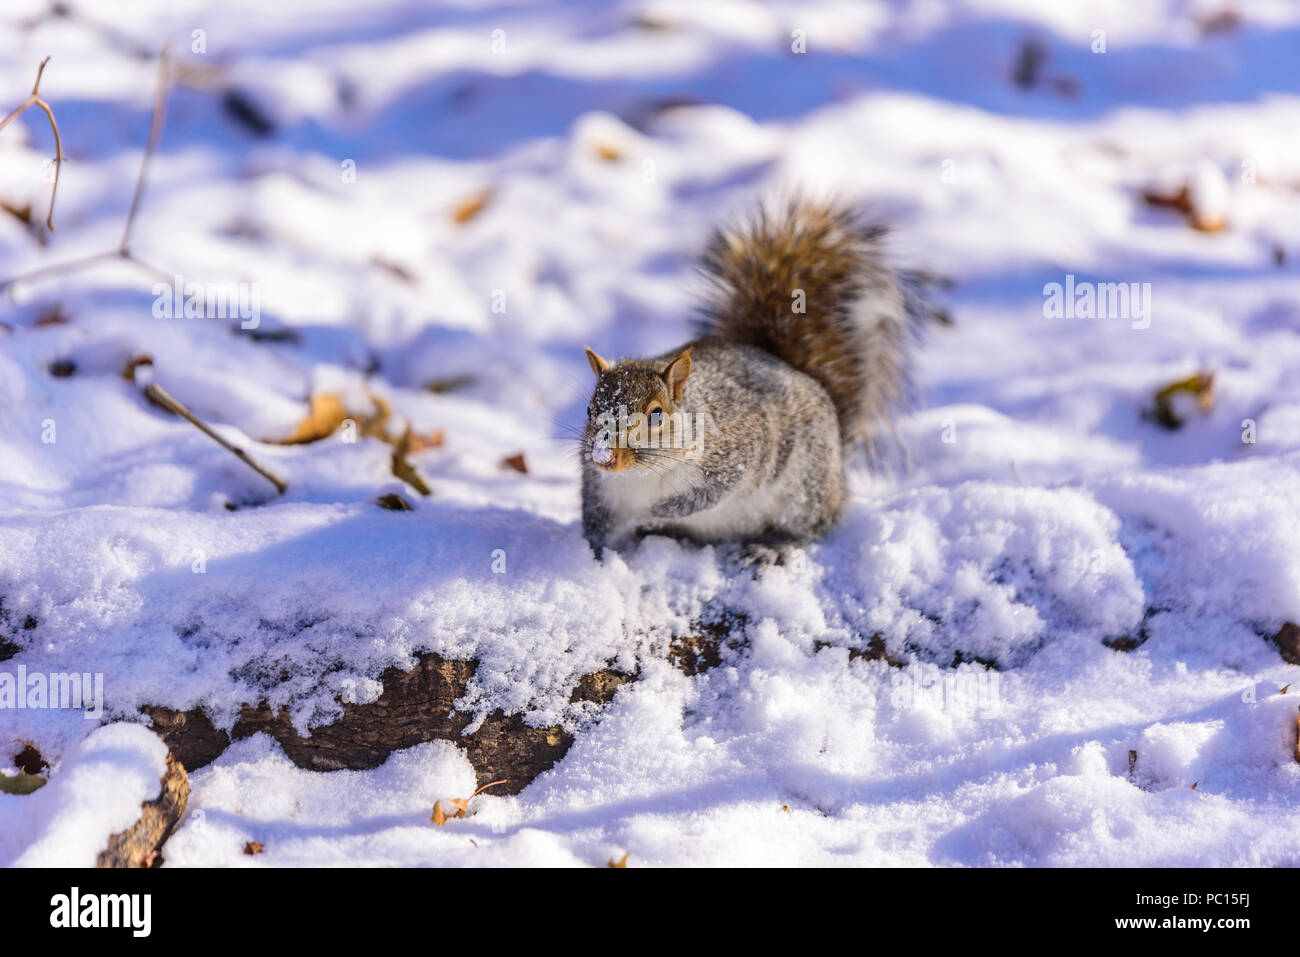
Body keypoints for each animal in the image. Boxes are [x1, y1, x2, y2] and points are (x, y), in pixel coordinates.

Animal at [580, 197, 932, 561]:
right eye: (590, 411)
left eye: (656, 415)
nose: (604, 458)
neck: (643, 475)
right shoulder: (600, 494)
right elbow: (597, 532)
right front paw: (593, 560)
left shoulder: (740, 449)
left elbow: (710, 493)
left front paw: (661, 510)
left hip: (806, 486)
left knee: (814, 526)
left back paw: (772, 547)